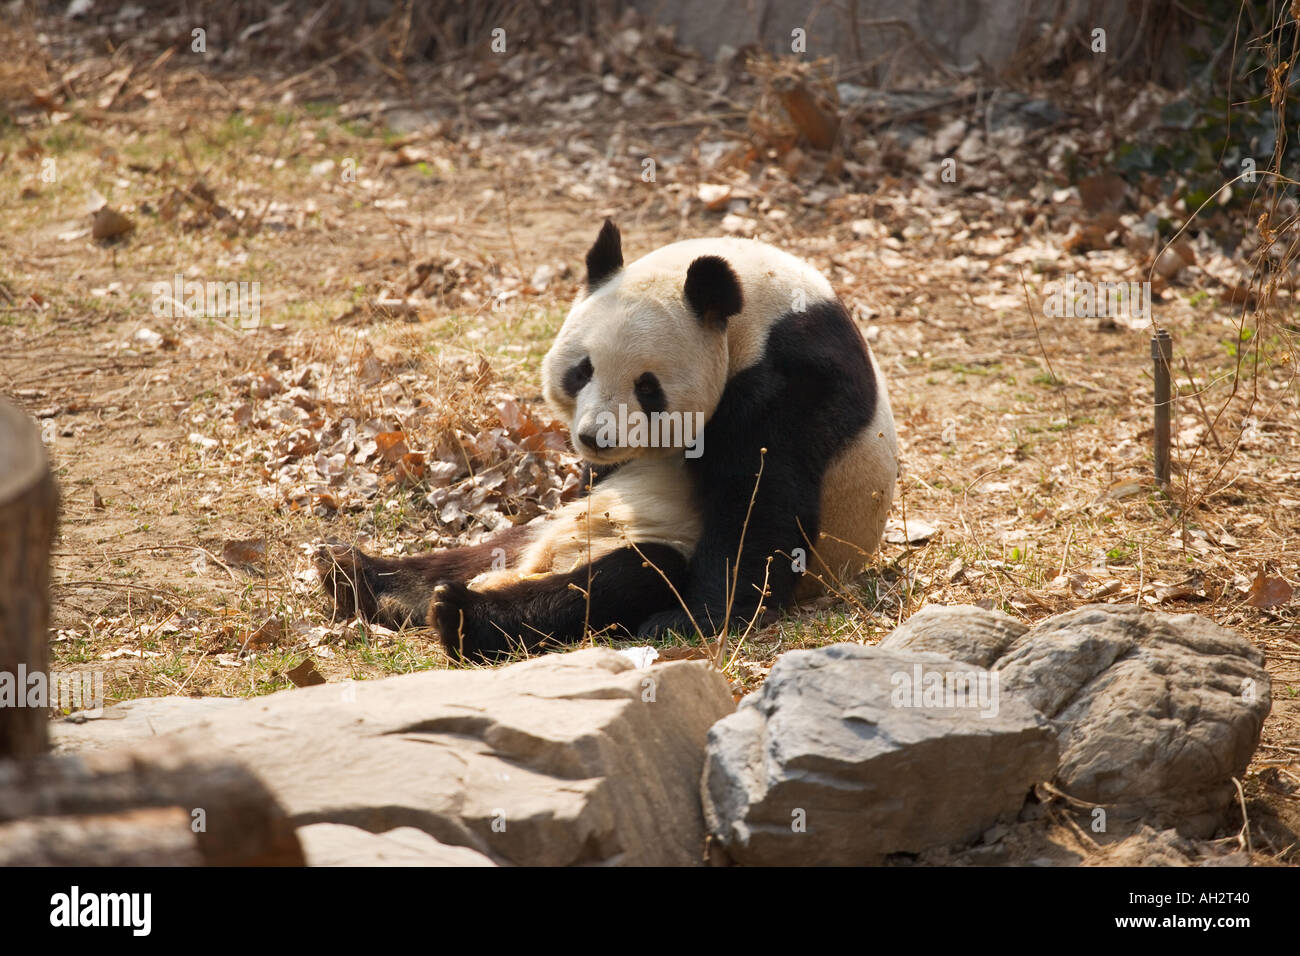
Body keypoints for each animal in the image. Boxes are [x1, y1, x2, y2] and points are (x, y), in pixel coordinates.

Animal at [317, 219, 898, 662]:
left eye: (647, 387)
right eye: (582, 370)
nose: (594, 437)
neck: (757, 312)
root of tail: (543, 562)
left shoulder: (792, 383)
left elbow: (760, 506)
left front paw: (691, 619)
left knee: (625, 578)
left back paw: (465, 617)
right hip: (538, 533)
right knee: (482, 553)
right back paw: (356, 574)